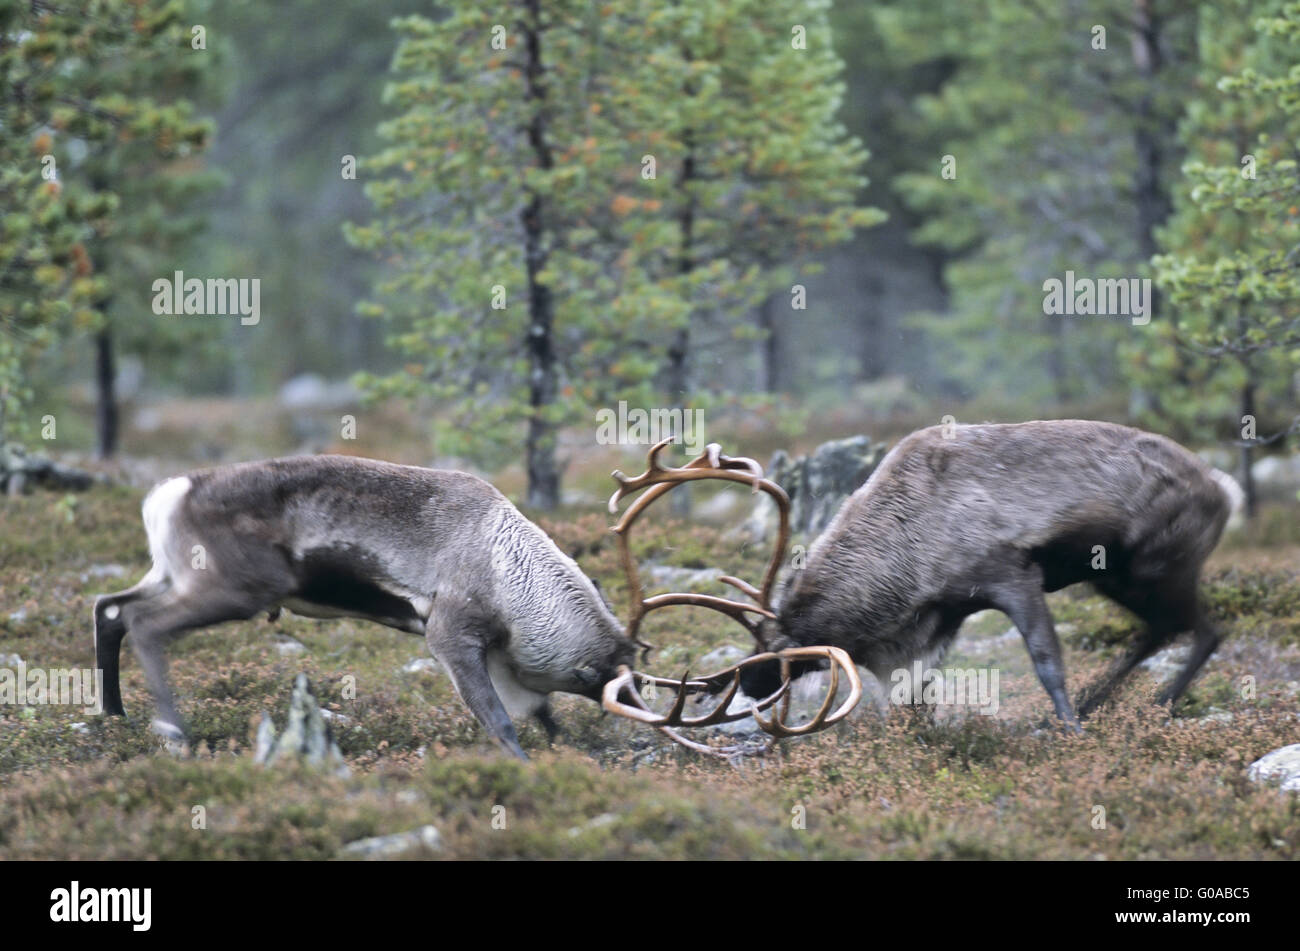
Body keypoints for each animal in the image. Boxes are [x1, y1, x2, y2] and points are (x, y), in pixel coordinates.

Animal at [93, 453, 855, 760]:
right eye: (613, 682)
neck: (513, 573)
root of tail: (168, 493)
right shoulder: (450, 634)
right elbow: (501, 720)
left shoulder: (503, 656)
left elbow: (539, 713)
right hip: (234, 588)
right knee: (144, 624)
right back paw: (172, 729)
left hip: (173, 573)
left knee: (109, 606)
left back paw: (114, 715)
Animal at [597, 421, 1244, 738]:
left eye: (774, 656)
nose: (750, 687)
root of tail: (1225, 490)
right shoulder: (940, 614)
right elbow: (917, 691)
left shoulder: (1009, 573)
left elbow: (1045, 660)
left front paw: (1069, 733)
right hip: (1120, 578)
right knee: (1164, 632)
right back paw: (1121, 705)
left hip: (1153, 567)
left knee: (1202, 629)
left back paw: (1140, 707)